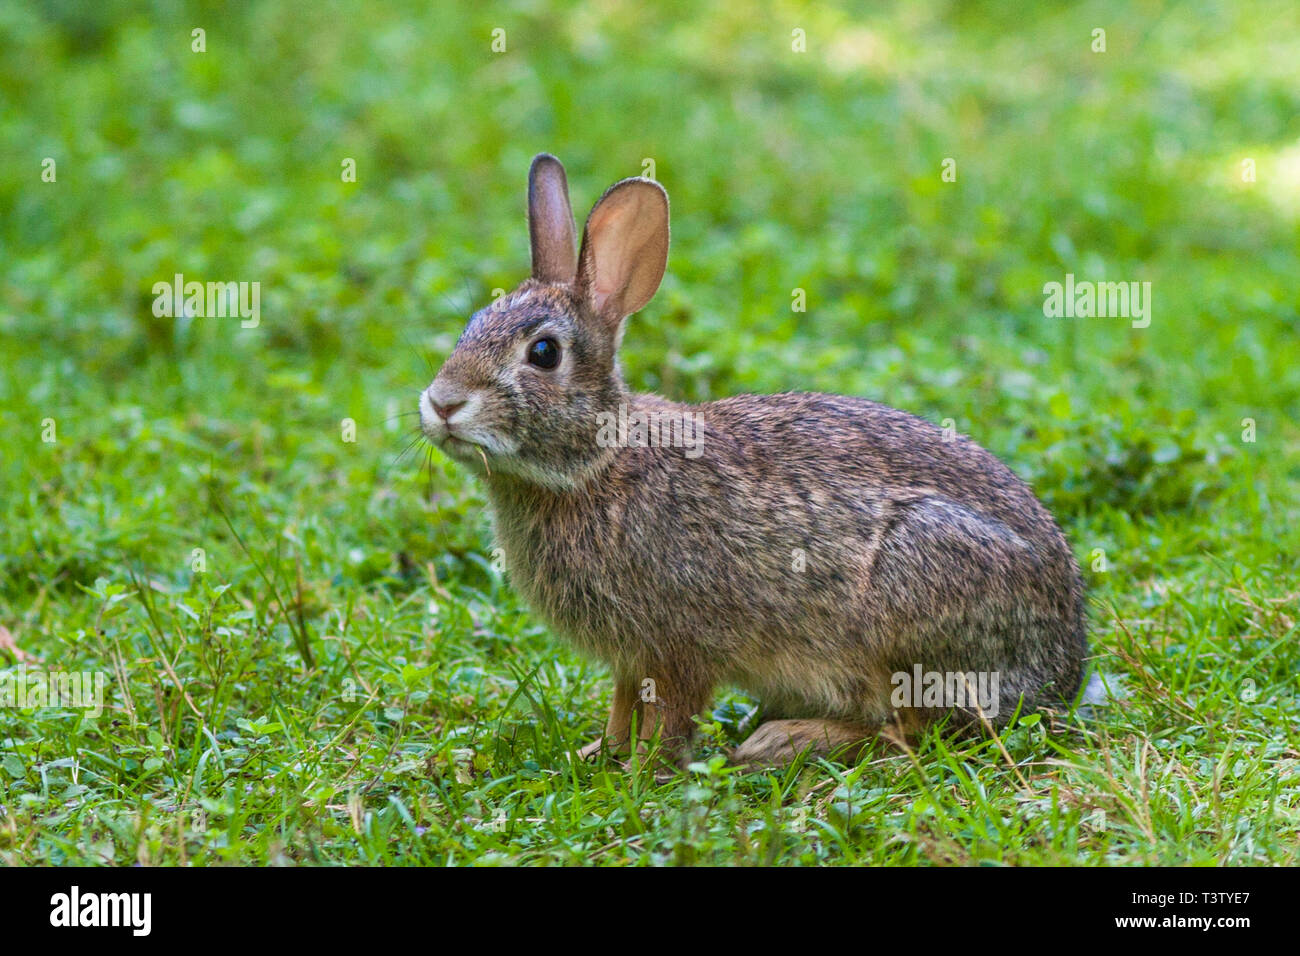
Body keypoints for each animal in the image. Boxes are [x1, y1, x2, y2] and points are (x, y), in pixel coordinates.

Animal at [419, 153, 1088, 768]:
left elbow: (671, 714)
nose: (442, 402)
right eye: (470, 325)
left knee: (914, 731)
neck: (598, 464)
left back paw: (784, 740)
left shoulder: (680, 643)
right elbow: (622, 704)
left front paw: (644, 770)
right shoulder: (631, 656)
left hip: (916, 596)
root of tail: (1063, 669)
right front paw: (598, 754)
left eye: (543, 353)